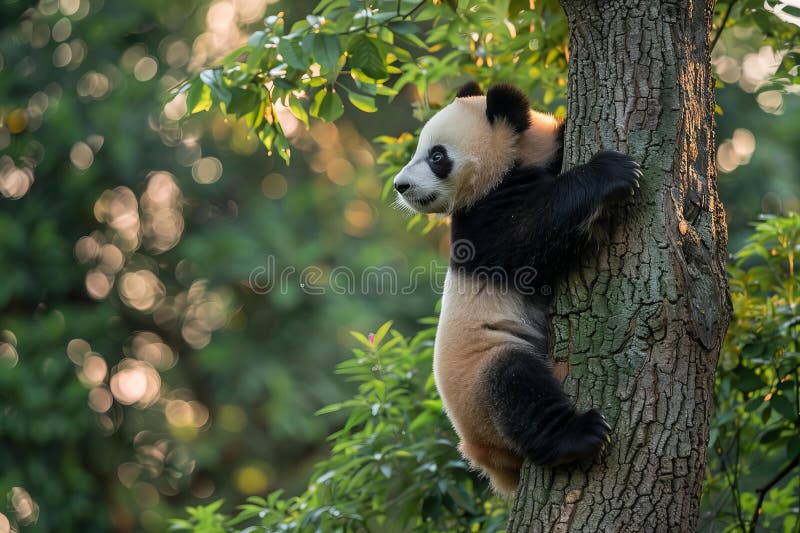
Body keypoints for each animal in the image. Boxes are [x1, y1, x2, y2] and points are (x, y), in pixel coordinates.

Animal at [393, 81, 641, 496]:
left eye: (436, 156)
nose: (401, 185)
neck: (511, 167)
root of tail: (482, 457)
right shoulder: (478, 226)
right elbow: (529, 237)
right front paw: (611, 172)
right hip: (479, 380)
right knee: (516, 385)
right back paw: (578, 434)